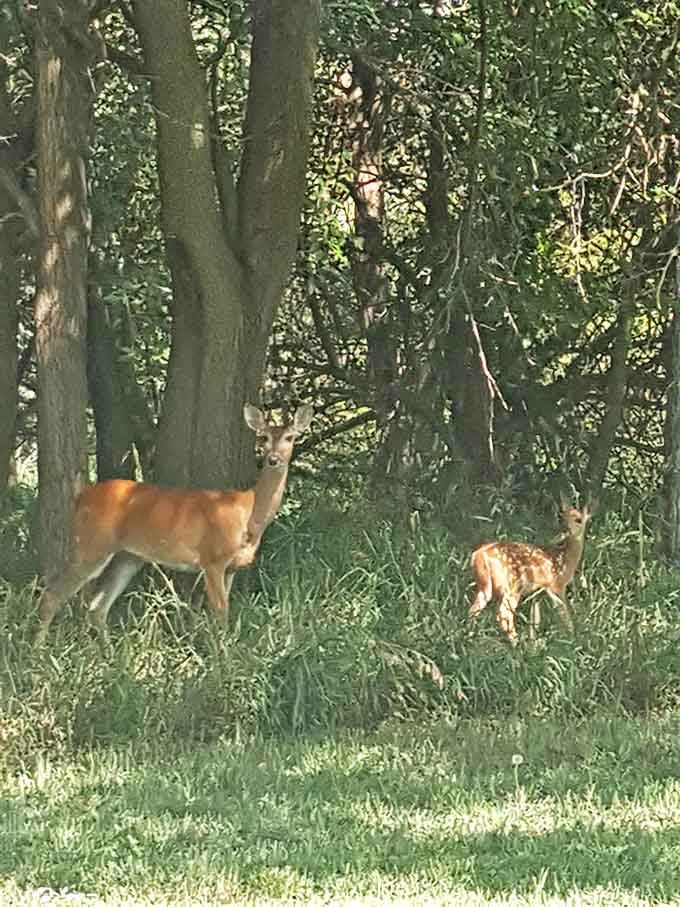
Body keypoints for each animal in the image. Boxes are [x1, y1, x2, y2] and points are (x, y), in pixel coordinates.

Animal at [34, 403, 313, 644]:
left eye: (290, 437)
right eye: (263, 438)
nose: (273, 459)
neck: (248, 514)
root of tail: (81, 496)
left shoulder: (232, 567)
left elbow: (225, 611)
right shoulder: (212, 559)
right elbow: (220, 613)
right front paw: (223, 661)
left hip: (128, 557)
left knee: (97, 608)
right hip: (91, 545)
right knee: (51, 596)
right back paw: (38, 652)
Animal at [467, 501, 592, 645]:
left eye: (579, 519)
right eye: (561, 517)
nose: (564, 530)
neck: (565, 559)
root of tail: (478, 555)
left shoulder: (537, 594)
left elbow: (535, 618)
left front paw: (534, 643)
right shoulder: (556, 586)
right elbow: (563, 612)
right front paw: (573, 638)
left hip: (484, 586)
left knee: (473, 610)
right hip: (512, 586)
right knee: (504, 614)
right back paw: (516, 643)